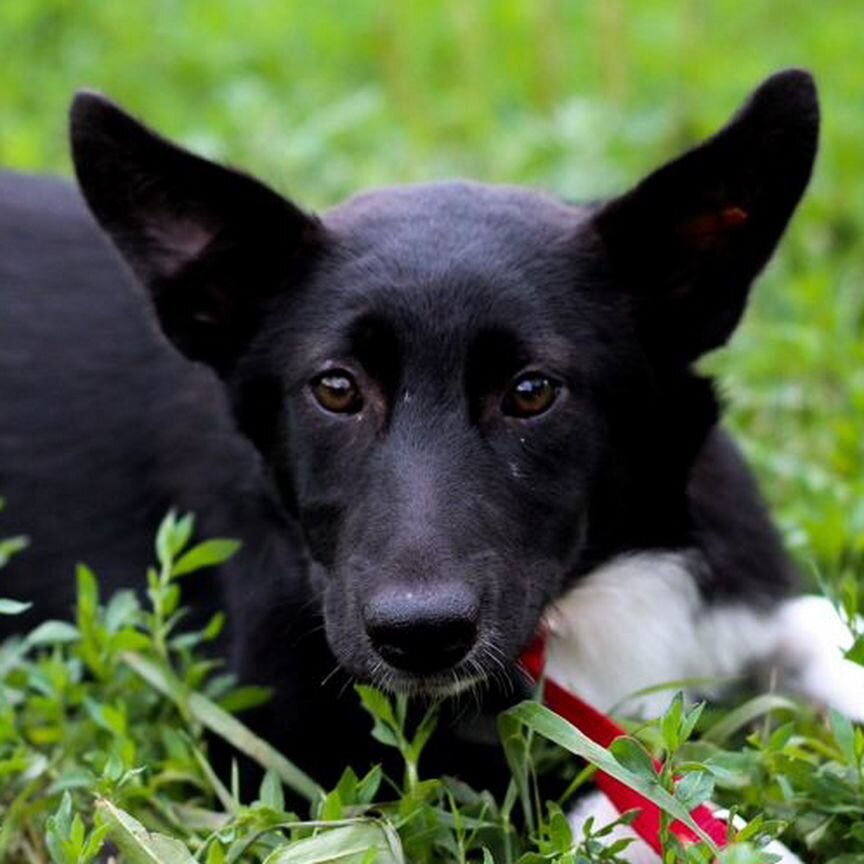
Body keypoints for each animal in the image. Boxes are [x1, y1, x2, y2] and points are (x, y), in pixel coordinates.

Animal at [0, 72, 852, 788]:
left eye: (532, 392)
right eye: (336, 389)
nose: (420, 637)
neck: (590, 587)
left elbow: (824, 631)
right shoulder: (283, 732)